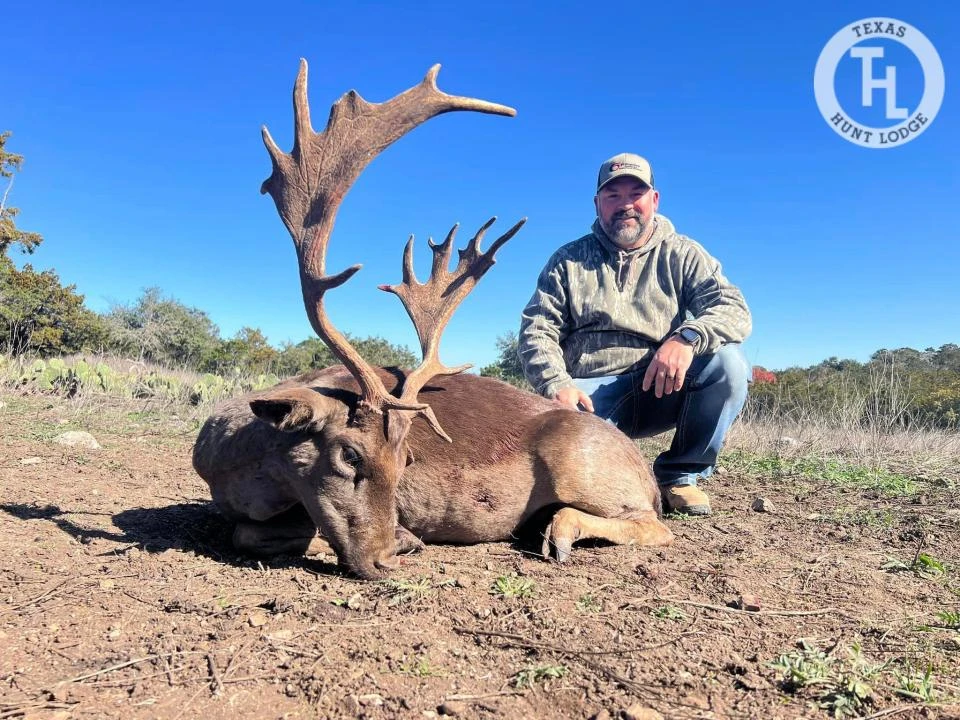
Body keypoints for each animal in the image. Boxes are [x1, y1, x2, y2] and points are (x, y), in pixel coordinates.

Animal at [192, 61, 674, 580]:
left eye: (406, 460)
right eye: (349, 453)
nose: (385, 557)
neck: (233, 466)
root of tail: (644, 471)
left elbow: (269, 532)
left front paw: (402, 537)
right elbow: (247, 531)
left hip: (584, 469)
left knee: (653, 525)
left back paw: (561, 530)